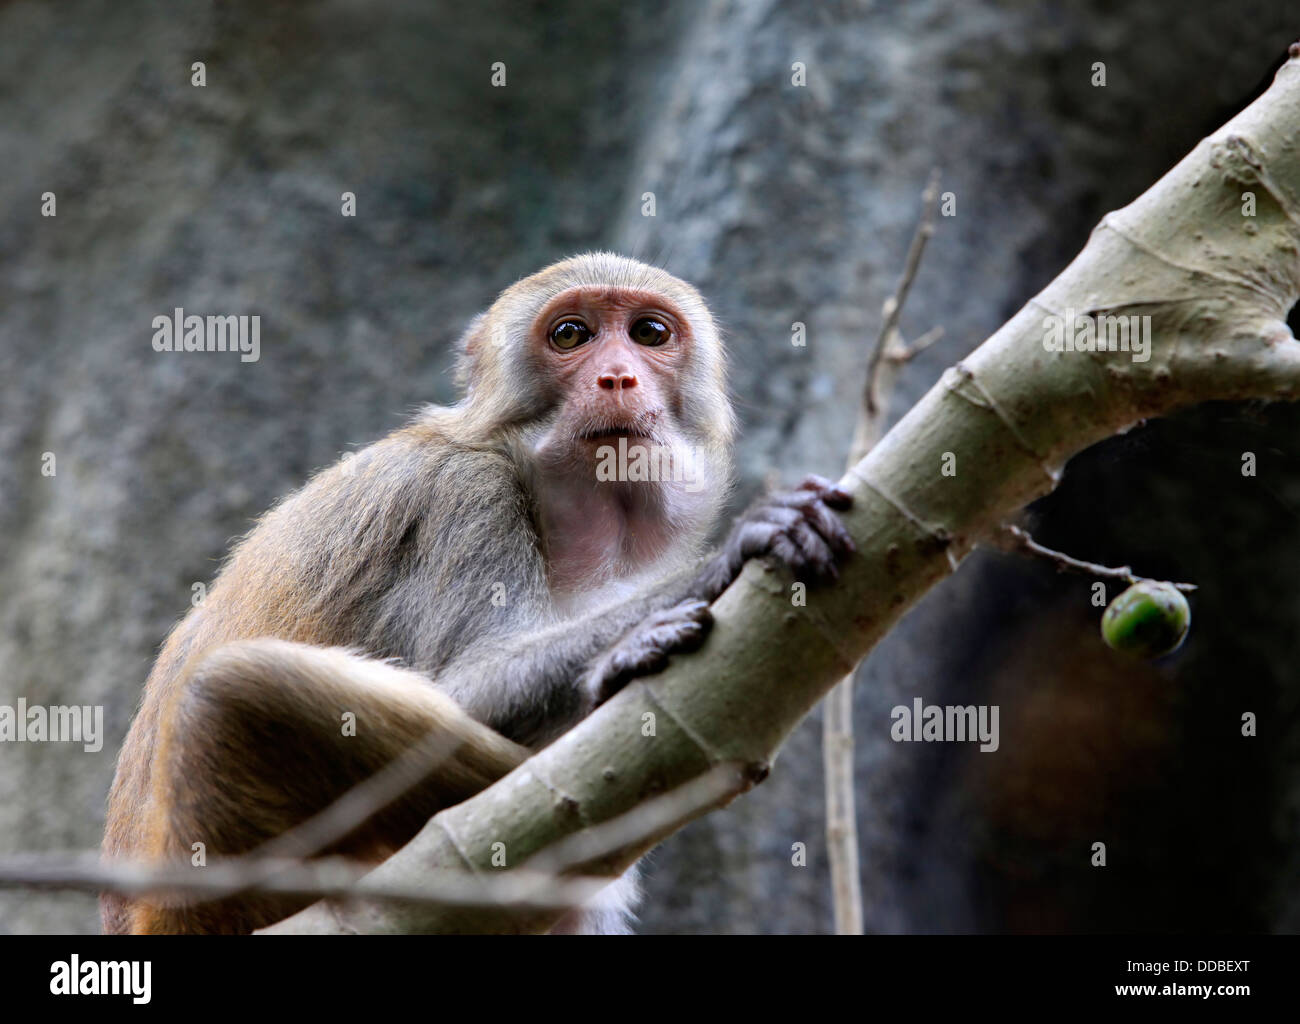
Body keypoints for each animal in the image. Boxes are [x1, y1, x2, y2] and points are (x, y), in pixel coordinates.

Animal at [100, 252, 854, 935]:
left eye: (649, 333)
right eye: (571, 335)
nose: (617, 375)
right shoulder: (464, 497)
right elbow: (470, 685)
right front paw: (721, 562)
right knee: (234, 691)